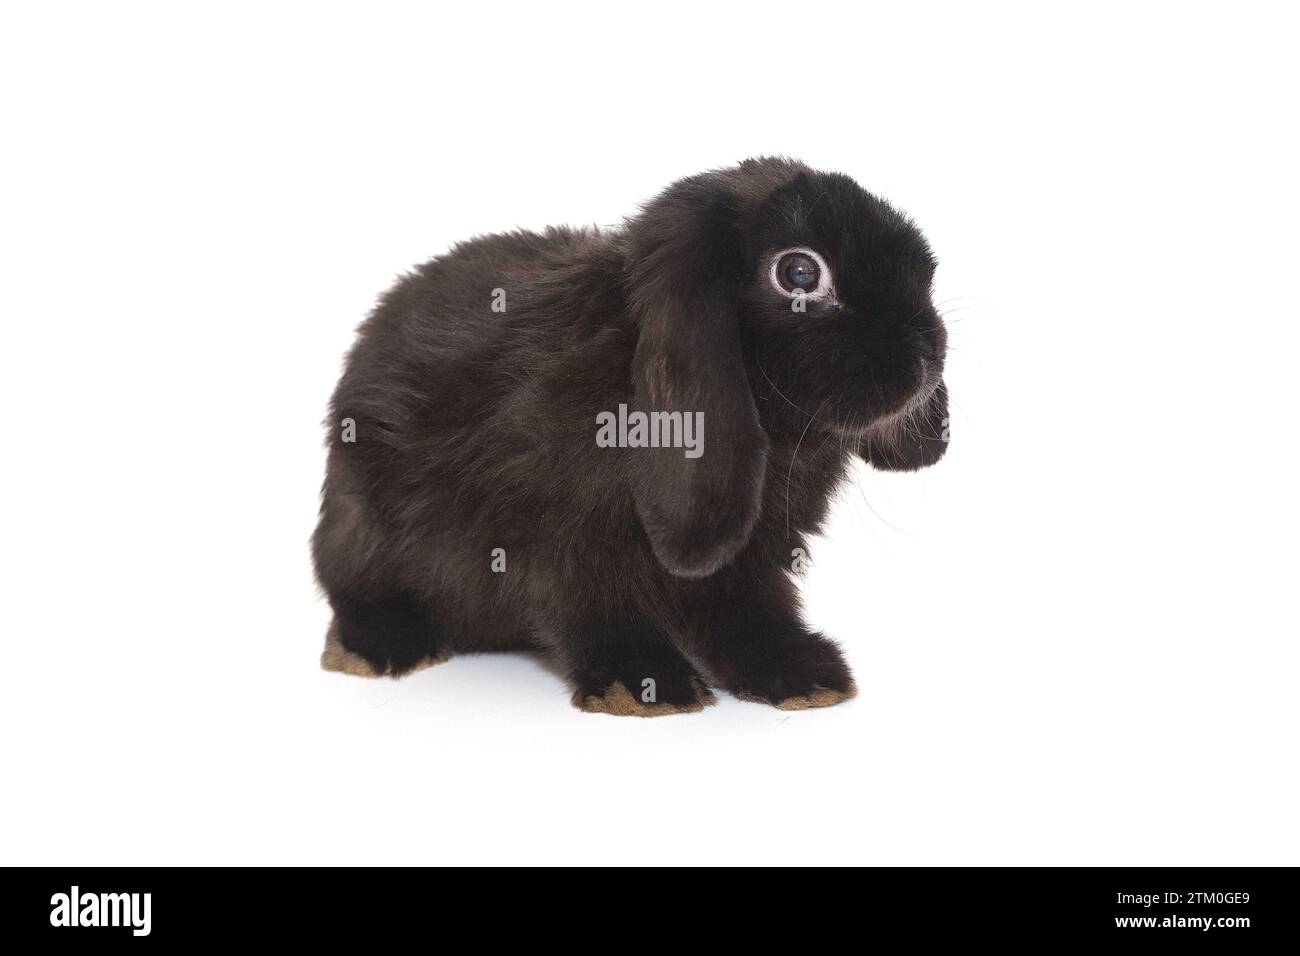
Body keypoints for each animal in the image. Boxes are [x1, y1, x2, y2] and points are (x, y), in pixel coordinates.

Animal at [312, 157, 949, 716]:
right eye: (799, 273)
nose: (924, 356)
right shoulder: (563, 542)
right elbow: (597, 610)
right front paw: (647, 685)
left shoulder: (750, 560)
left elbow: (749, 613)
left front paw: (804, 677)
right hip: (361, 522)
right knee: (351, 584)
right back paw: (382, 648)